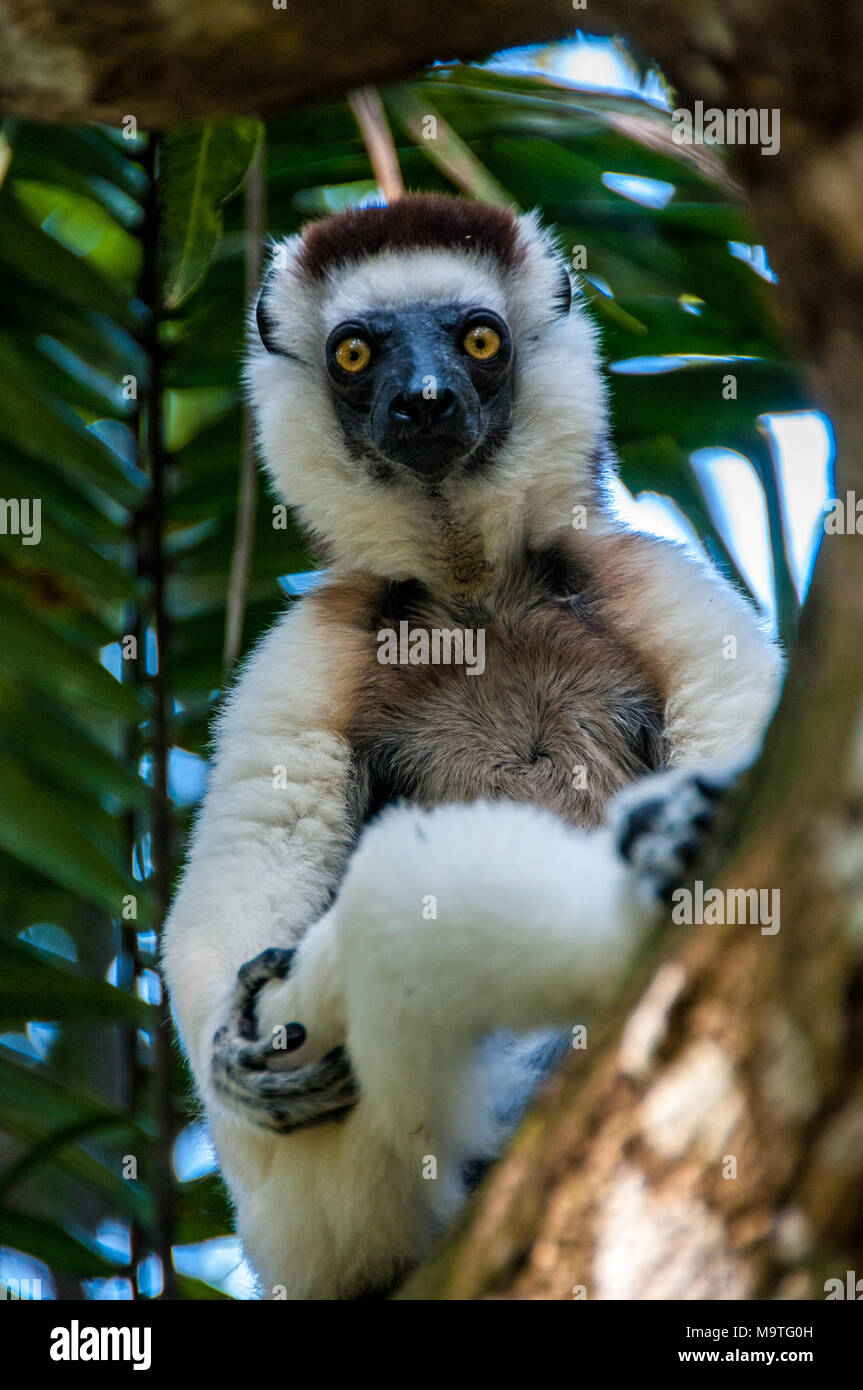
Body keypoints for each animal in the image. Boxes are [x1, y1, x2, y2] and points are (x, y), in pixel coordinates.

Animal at [162, 193, 783, 1300]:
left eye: (478, 341)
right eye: (356, 353)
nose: (420, 404)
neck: (470, 592)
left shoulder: (641, 581)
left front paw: (690, 815)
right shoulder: (313, 645)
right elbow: (252, 863)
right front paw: (230, 1057)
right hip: (308, 1217)